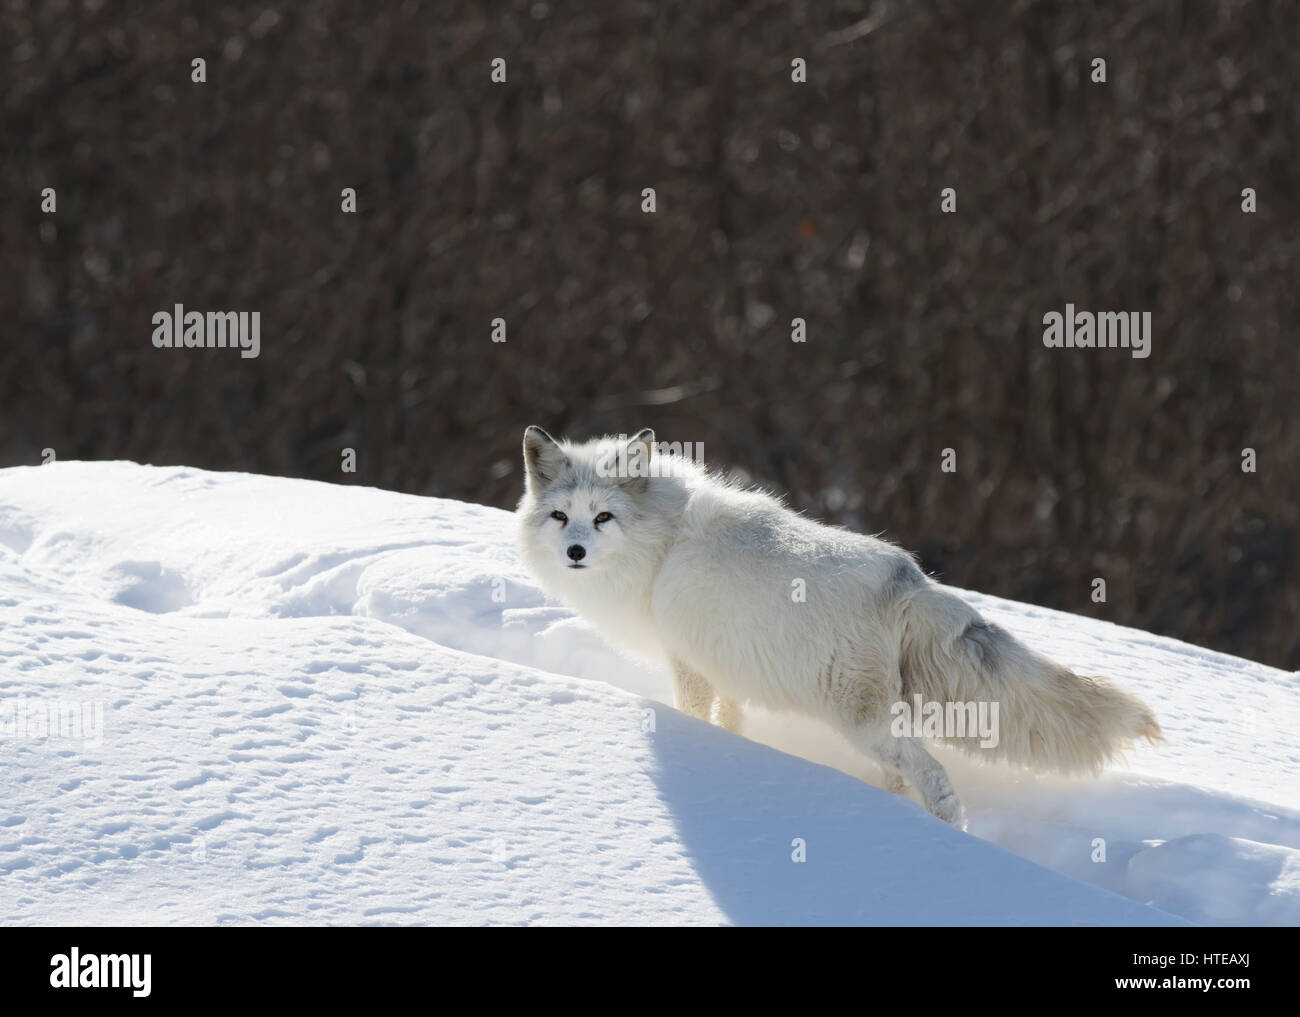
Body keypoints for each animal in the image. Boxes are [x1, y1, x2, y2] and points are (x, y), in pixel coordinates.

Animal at [515, 426, 1162, 828]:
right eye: (560, 517)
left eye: (604, 517)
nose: (574, 552)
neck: (660, 545)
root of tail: (910, 580)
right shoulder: (724, 666)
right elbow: (732, 721)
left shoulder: (689, 664)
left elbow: (695, 715)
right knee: (902, 777)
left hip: (862, 722)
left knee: (935, 778)